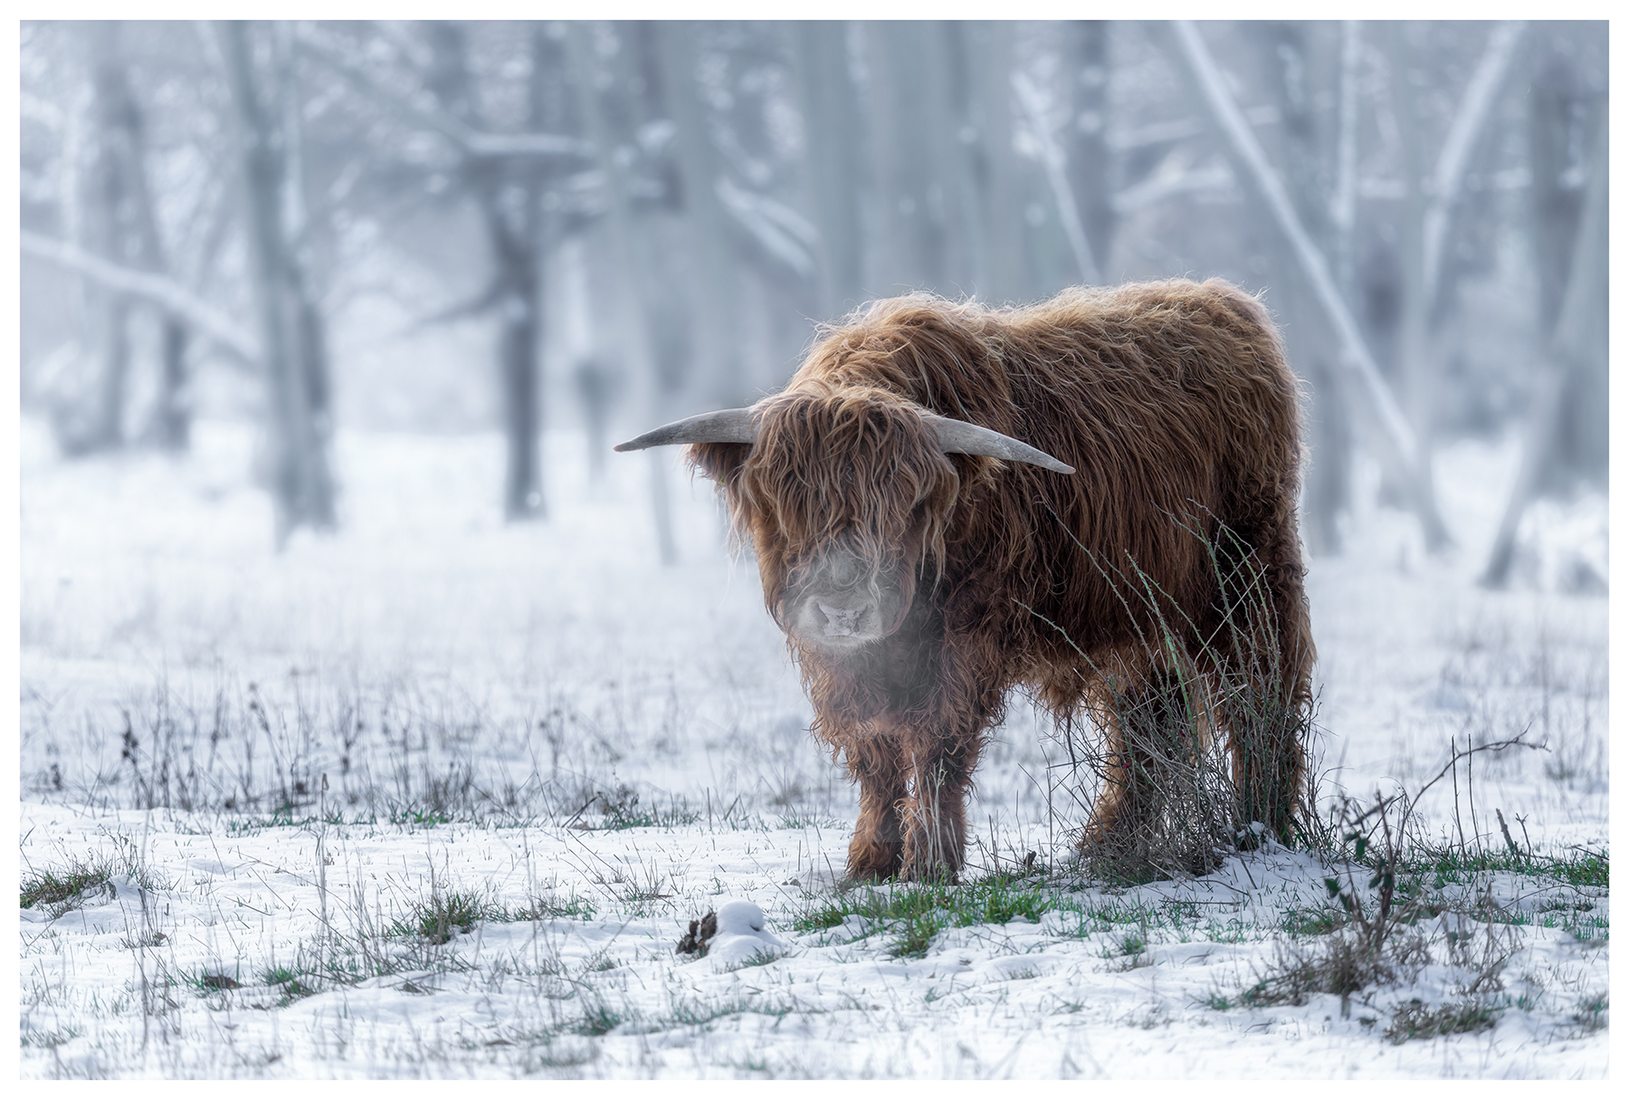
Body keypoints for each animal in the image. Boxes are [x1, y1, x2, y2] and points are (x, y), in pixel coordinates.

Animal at [617, 279, 1314, 881]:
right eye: (785, 502)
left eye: (902, 506)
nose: (843, 609)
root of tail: (1229, 306)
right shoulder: (845, 666)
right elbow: (875, 755)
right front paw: (871, 861)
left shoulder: (962, 641)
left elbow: (936, 745)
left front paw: (929, 864)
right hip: (1139, 618)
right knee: (1148, 724)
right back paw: (1109, 846)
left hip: (1249, 574)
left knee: (1263, 696)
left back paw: (1261, 828)